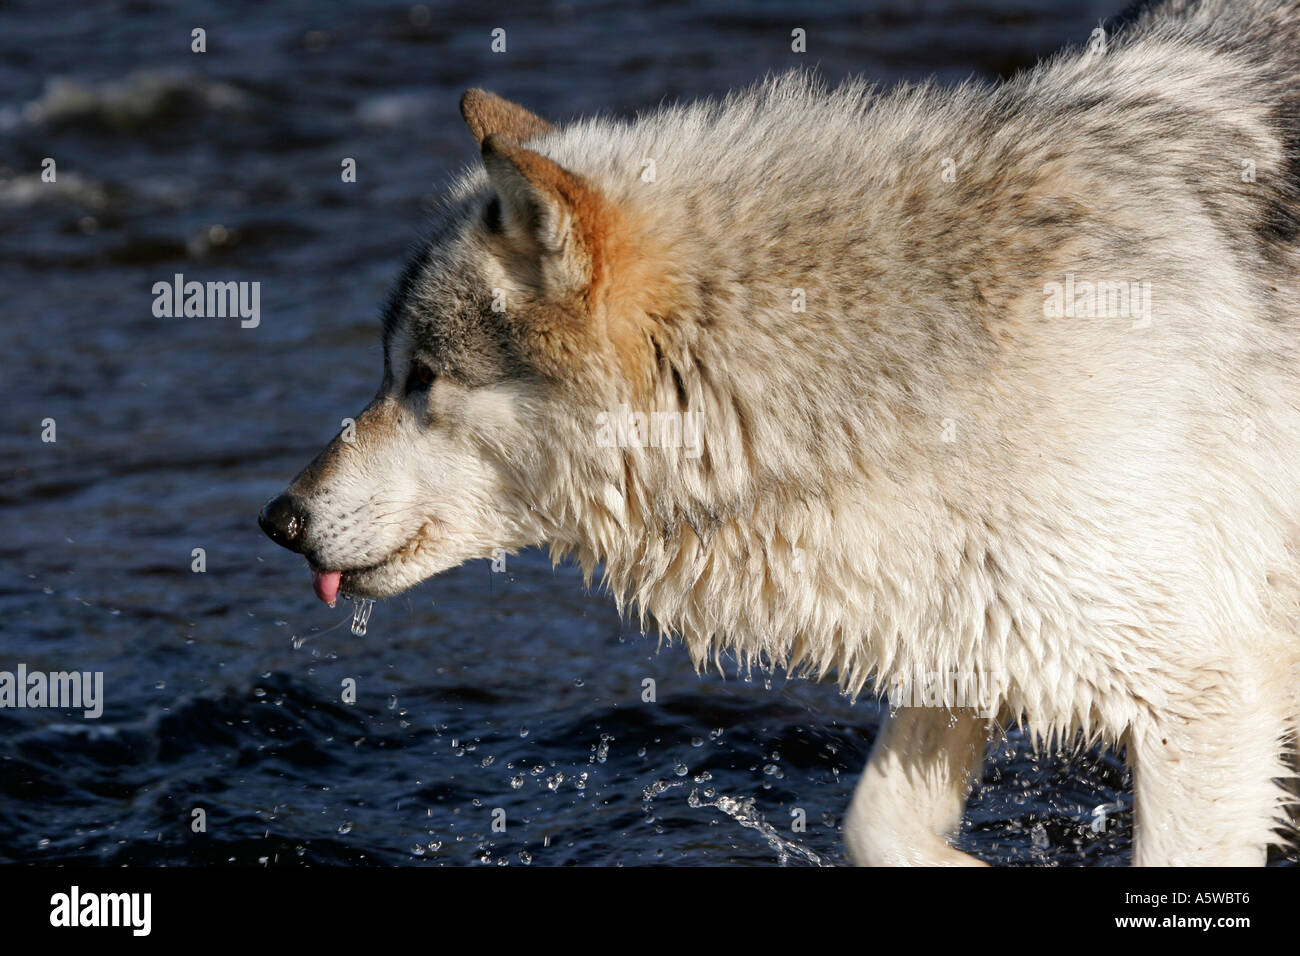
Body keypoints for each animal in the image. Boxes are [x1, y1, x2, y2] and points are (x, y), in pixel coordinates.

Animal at [261, 0, 1300, 865]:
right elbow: (874, 826)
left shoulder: (1202, 706)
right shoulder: (966, 633)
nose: (278, 519)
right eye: (389, 371)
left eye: (421, 378)